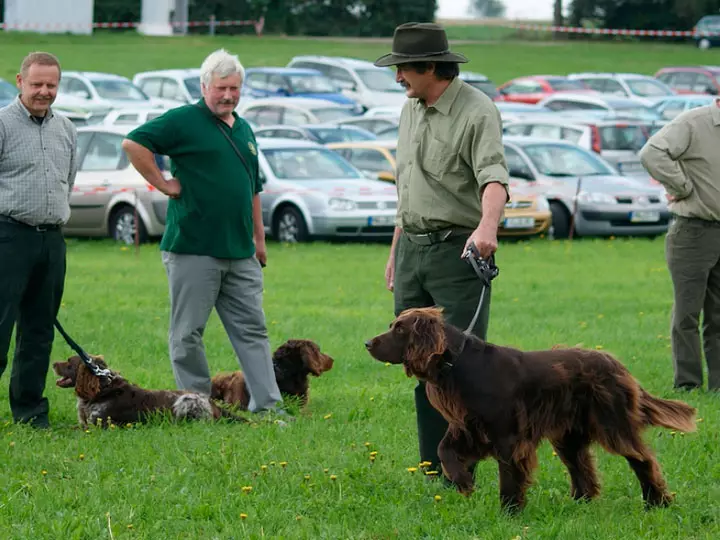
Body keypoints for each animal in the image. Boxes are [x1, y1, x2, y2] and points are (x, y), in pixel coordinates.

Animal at [52, 356, 246, 428]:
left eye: (69, 362)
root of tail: (212, 403)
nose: (53, 363)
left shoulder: (100, 425)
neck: (103, 389)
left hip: (186, 400)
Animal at [366, 310, 696, 512]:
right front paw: (464, 483)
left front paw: (509, 512)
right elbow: (443, 450)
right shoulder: (468, 428)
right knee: (582, 468)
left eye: (399, 329)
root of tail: (618, 365)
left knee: (643, 460)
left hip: (613, 424)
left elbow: (510, 476)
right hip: (568, 436)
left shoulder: (507, 436)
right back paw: (579, 504)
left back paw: (657, 502)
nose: (368, 342)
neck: (457, 364)